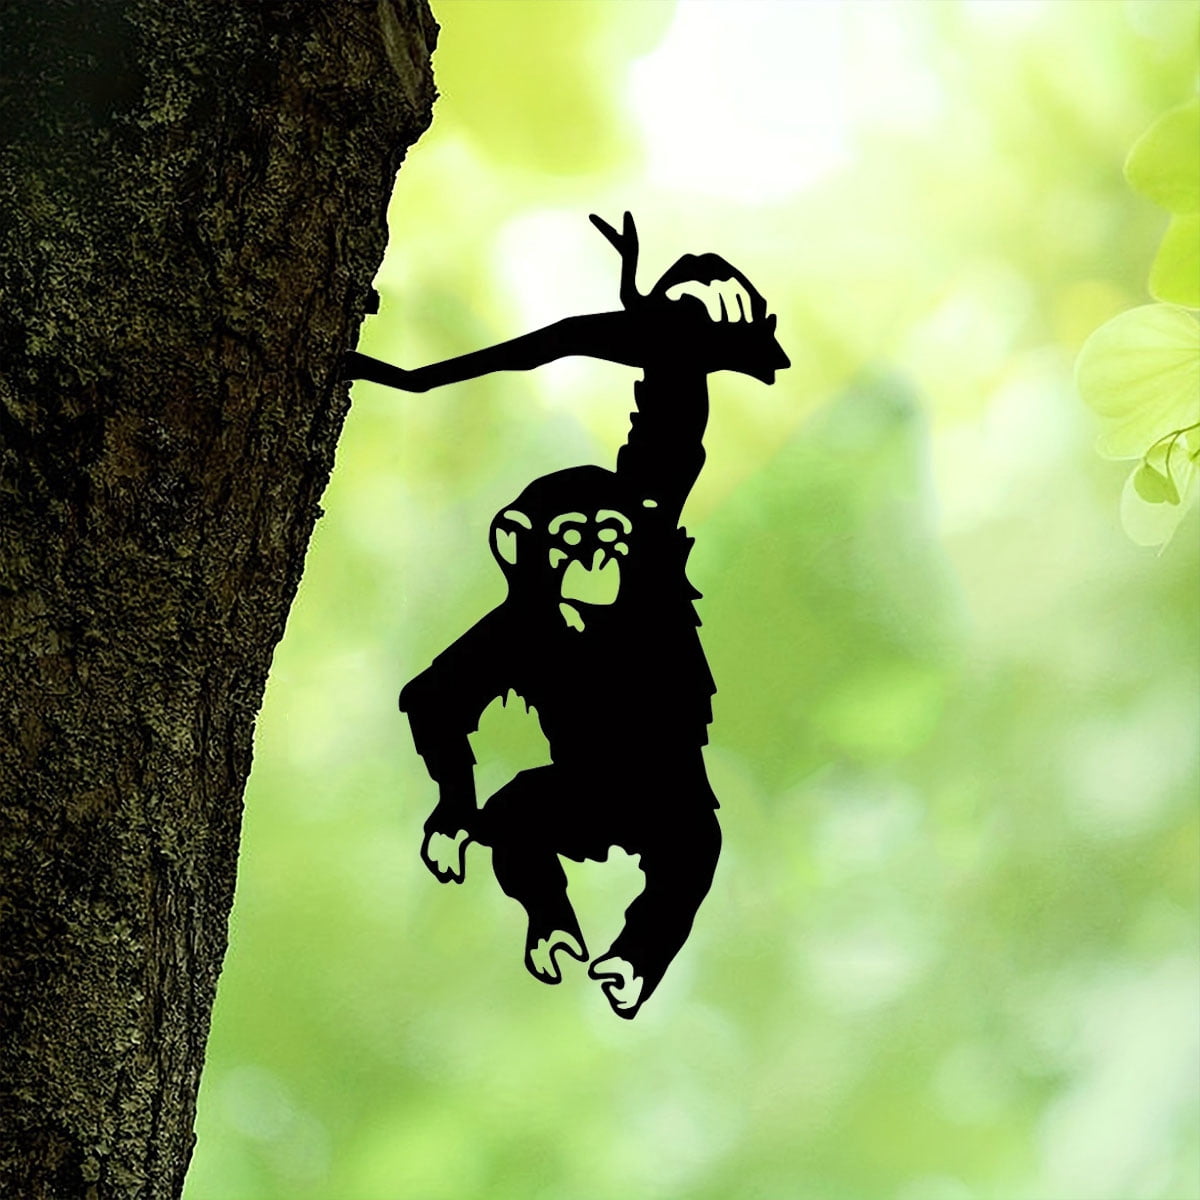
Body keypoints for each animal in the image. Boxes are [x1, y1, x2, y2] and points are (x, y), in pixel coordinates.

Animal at [344, 213, 788, 1017]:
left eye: (610, 533)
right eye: (567, 539)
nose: (596, 562)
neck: (593, 627)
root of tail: (612, 839)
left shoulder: (656, 537)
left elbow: (670, 423)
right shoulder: (514, 627)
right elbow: (438, 696)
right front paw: (451, 822)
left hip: (669, 805)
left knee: (683, 865)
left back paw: (630, 964)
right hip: (575, 804)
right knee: (521, 821)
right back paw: (553, 930)